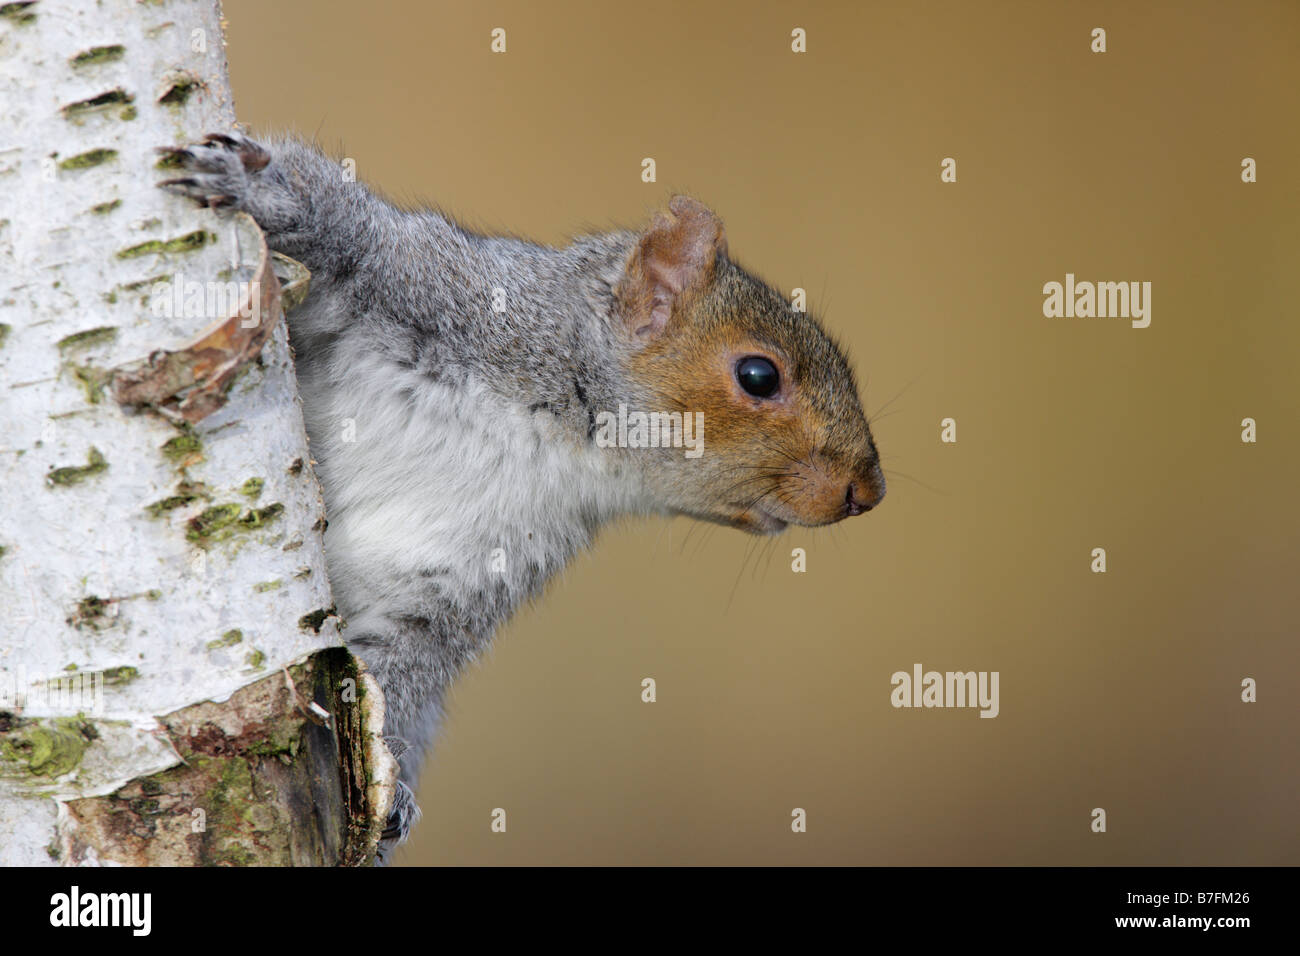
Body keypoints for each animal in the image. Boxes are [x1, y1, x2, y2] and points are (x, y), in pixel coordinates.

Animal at [159, 133, 887, 860]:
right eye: (759, 375)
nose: (867, 492)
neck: (560, 439)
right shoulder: (435, 285)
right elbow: (355, 236)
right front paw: (261, 188)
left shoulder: (470, 571)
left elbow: (400, 663)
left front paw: (385, 772)